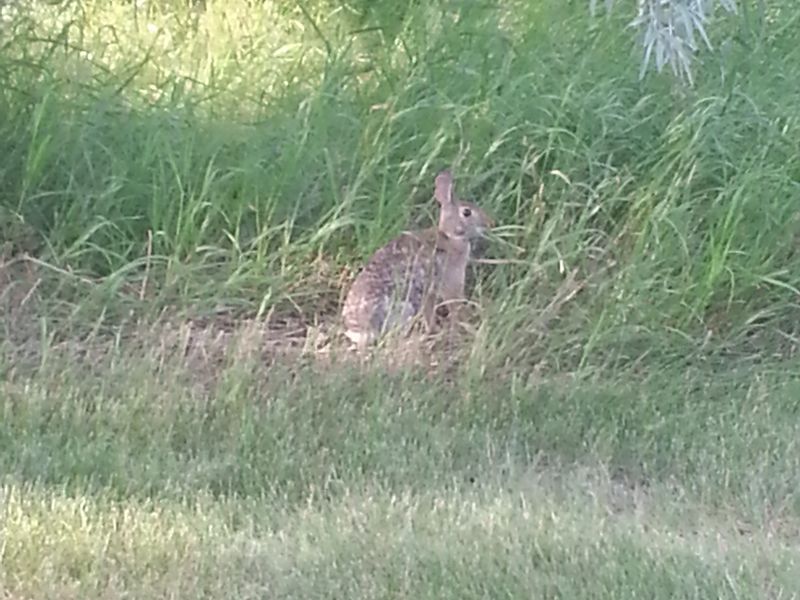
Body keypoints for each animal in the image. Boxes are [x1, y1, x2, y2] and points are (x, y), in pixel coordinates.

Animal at [341, 169, 494, 348]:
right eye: (467, 212)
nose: (490, 223)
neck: (449, 236)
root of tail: (359, 330)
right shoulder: (449, 281)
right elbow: (452, 303)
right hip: (402, 307)